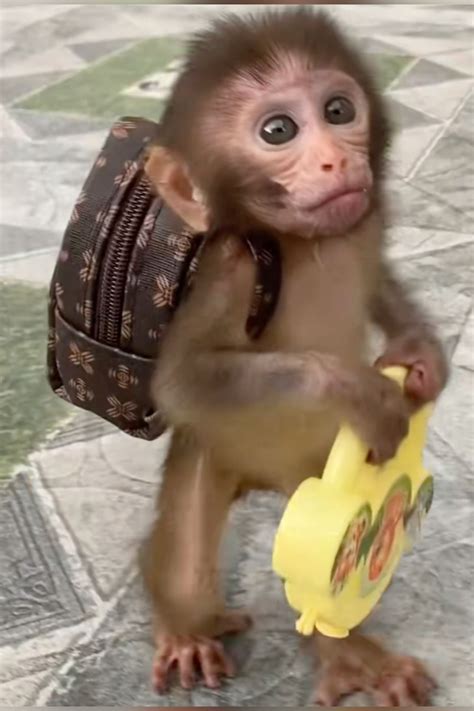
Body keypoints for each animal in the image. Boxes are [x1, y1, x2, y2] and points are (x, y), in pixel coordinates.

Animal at [140, 8, 448, 706]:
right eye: (277, 130)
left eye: (338, 110)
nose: (335, 158)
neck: (307, 243)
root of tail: (260, 483)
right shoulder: (229, 267)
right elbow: (183, 382)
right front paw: (359, 389)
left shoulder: (365, 223)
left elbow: (380, 282)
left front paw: (422, 352)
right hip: (209, 451)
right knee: (188, 573)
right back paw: (186, 631)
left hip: (315, 470)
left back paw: (349, 655)